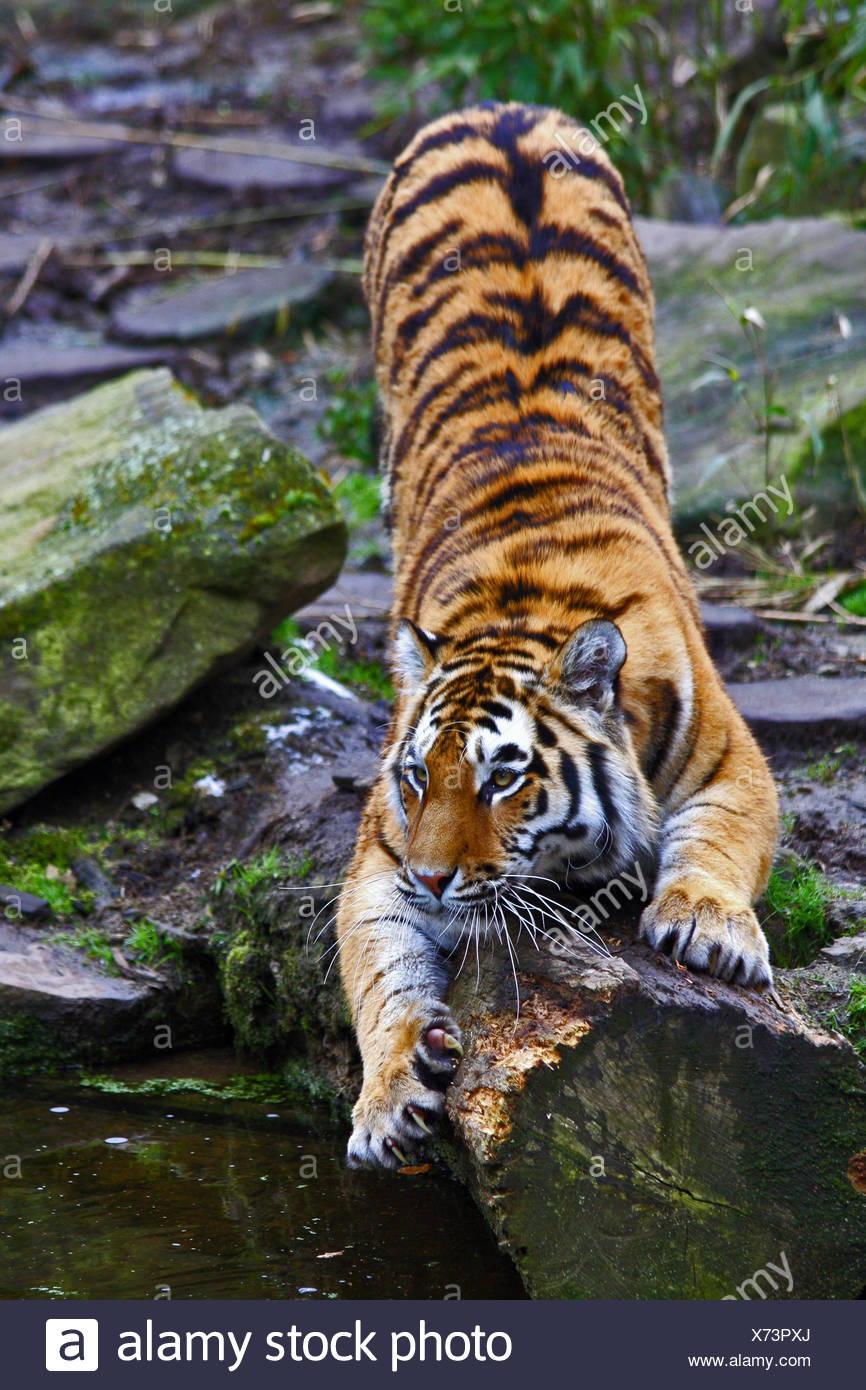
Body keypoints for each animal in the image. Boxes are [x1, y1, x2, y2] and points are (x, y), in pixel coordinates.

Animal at [336, 102, 779, 1169]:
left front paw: (709, 927)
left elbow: (721, 834)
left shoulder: (734, 759)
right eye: (417, 777)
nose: (434, 878)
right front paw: (390, 1094)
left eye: (505, 777)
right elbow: (376, 963)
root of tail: (496, 110)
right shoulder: (380, 847)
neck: (520, 612)